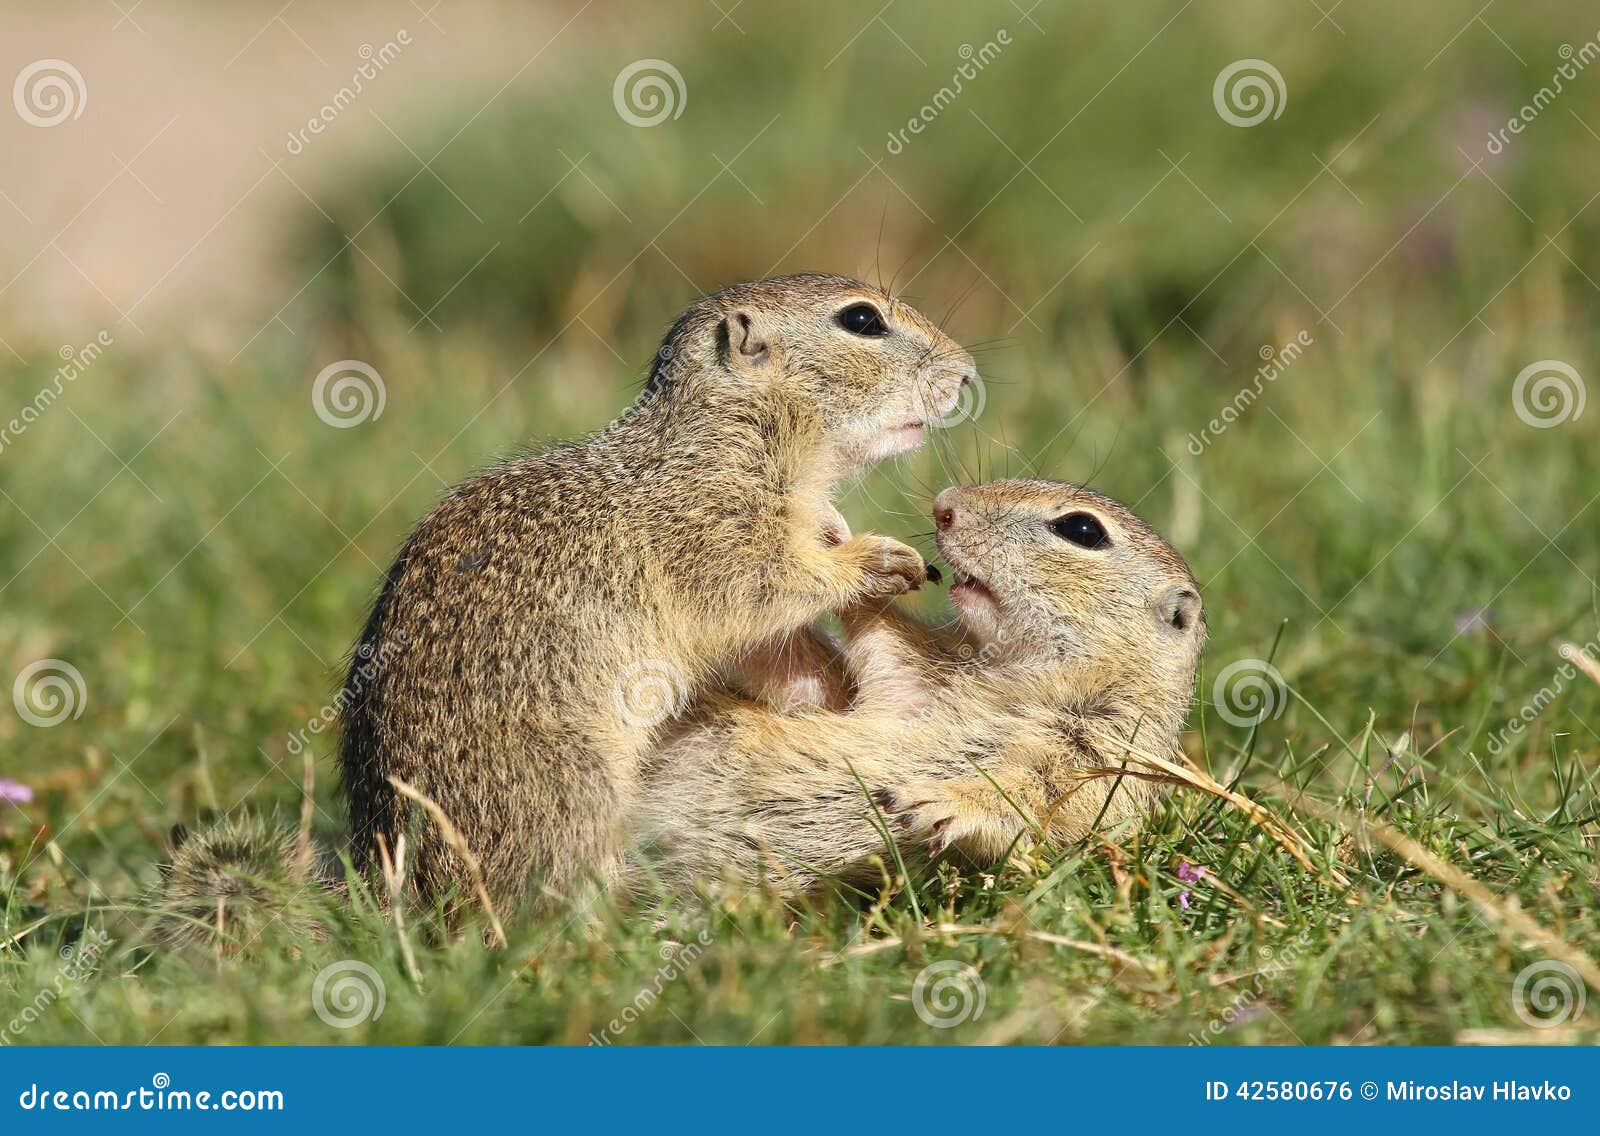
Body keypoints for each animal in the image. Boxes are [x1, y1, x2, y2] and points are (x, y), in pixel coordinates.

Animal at [157, 275, 976, 931]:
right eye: (862, 320)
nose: (968, 374)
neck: (725, 436)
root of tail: (402, 892)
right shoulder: (717, 533)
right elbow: (772, 582)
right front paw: (876, 559)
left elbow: (779, 646)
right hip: (573, 785)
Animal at [625, 478, 1206, 896]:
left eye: (1083, 530)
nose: (943, 506)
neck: (1015, 673)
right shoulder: (911, 682)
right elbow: (875, 649)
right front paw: (841, 543)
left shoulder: (1105, 755)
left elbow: (1036, 812)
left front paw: (941, 802)